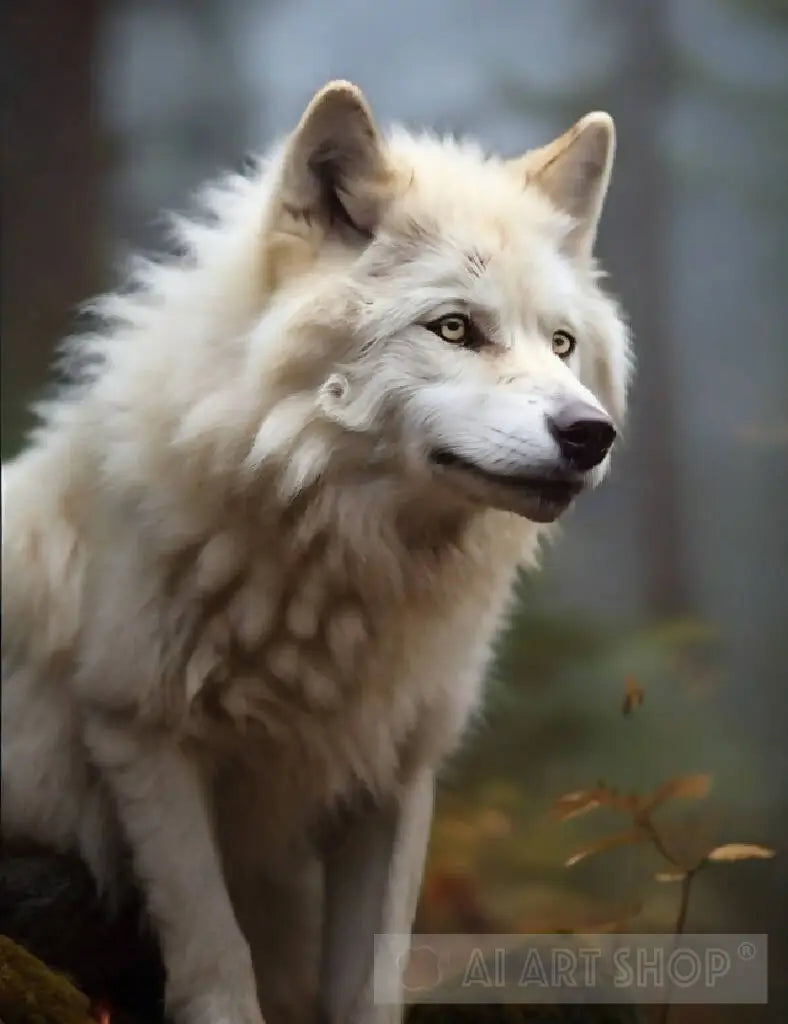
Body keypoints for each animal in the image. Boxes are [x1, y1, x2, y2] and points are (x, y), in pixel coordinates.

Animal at [1, 82, 631, 1023]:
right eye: (455, 328)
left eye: (561, 344)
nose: (593, 434)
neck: (339, 561)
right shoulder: (140, 734)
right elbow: (216, 953)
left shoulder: (395, 773)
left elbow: (371, 976)